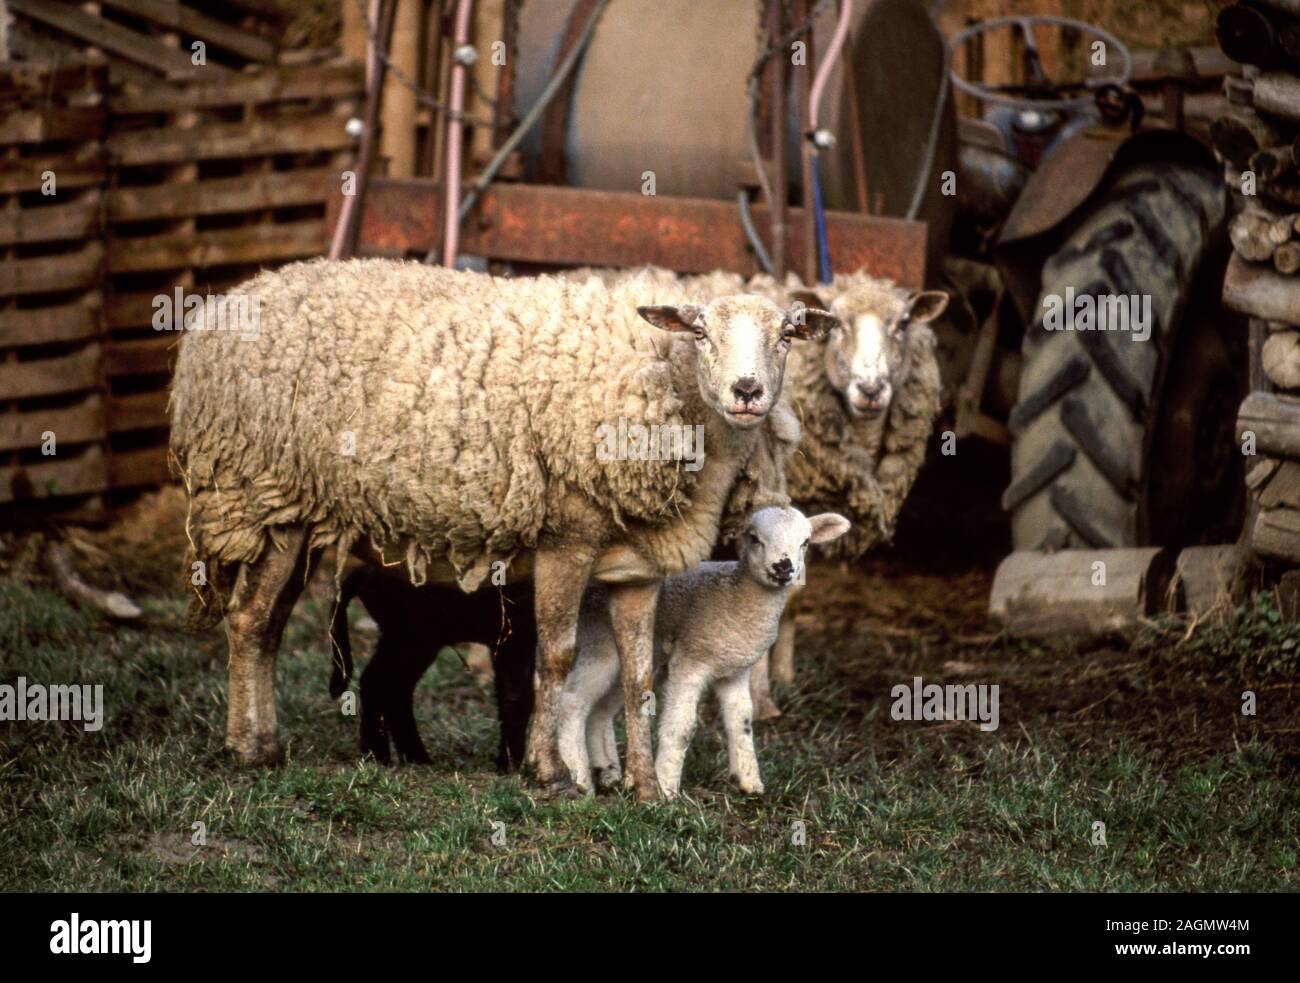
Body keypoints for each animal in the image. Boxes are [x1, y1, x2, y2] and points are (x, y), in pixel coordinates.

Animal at [326, 565, 534, 770]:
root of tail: (367, 570)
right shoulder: (516, 641)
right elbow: (516, 698)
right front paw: (510, 767)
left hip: (404, 639)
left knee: (393, 689)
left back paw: (411, 758)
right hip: (415, 638)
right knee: (377, 682)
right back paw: (383, 757)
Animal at [557, 506, 850, 797]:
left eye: (805, 542)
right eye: (754, 538)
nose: (783, 567)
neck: (736, 596)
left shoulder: (735, 671)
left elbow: (742, 722)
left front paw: (749, 782)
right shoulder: (690, 661)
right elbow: (681, 729)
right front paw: (665, 788)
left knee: (601, 711)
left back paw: (608, 773)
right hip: (600, 643)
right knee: (572, 702)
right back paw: (580, 778)